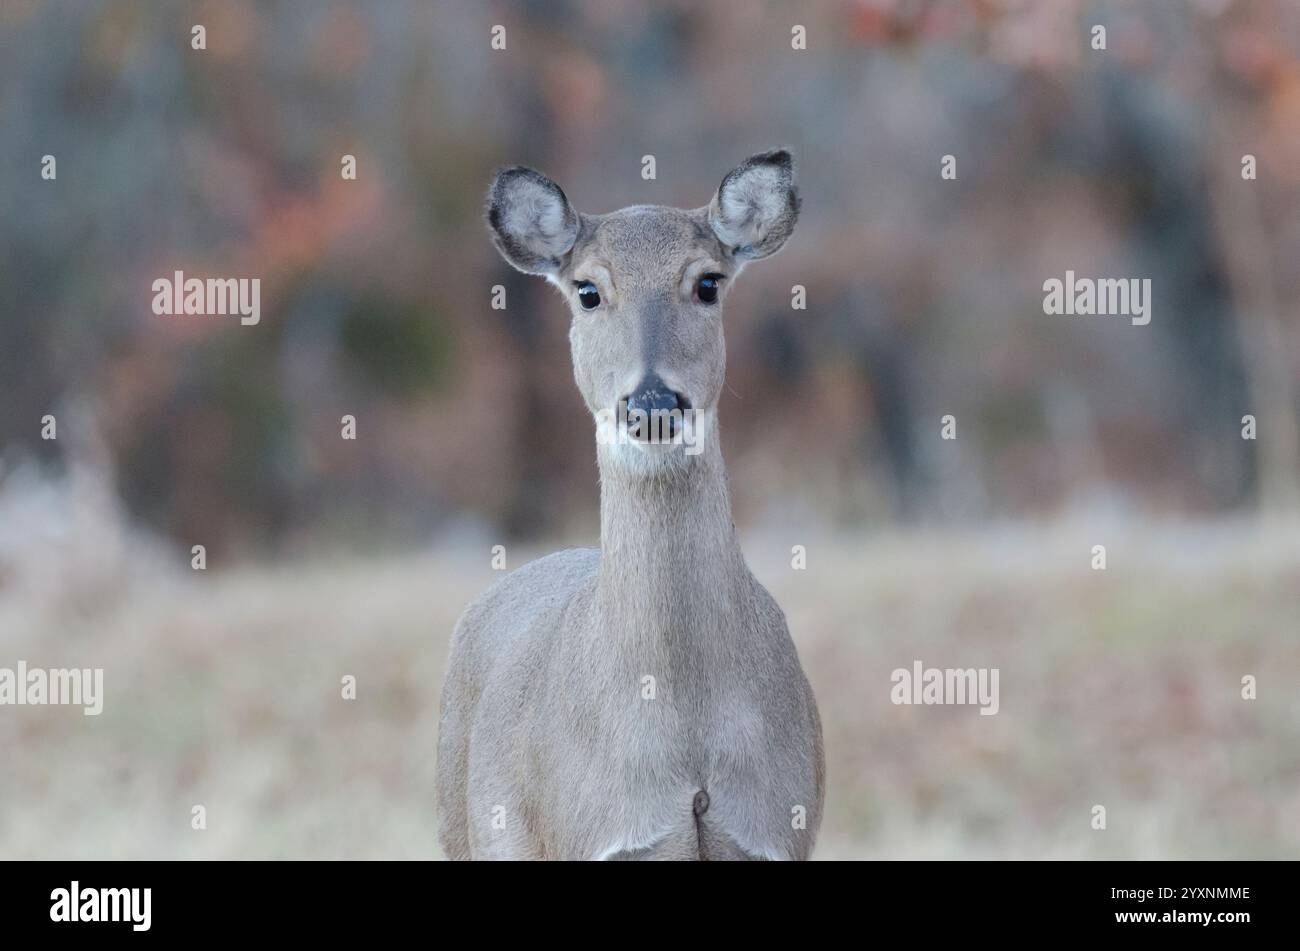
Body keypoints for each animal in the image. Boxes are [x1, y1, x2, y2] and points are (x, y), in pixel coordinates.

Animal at [436, 149, 824, 860]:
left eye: (707, 283)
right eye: (588, 290)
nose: (652, 403)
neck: (686, 739)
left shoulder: (781, 831)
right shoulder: (593, 839)